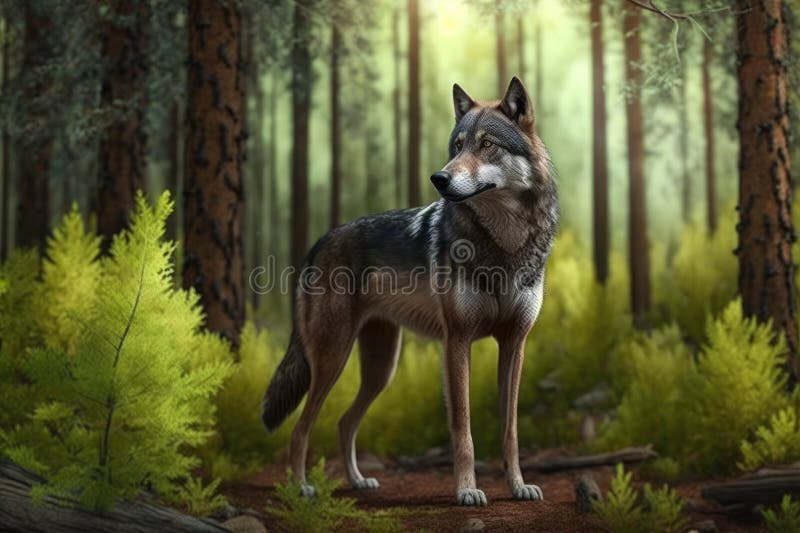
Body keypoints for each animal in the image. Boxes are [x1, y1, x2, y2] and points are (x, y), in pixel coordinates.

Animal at [261, 77, 559, 506]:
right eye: (457, 146)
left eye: (487, 144)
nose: (439, 178)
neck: (504, 245)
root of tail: (319, 242)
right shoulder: (457, 342)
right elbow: (463, 430)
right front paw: (467, 490)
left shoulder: (515, 344)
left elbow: (510, 430)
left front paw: (518, 486)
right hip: (332, 360)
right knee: (301, 430)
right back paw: (300, 488)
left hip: (380, 370)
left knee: (343, 422)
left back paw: (358, 481)